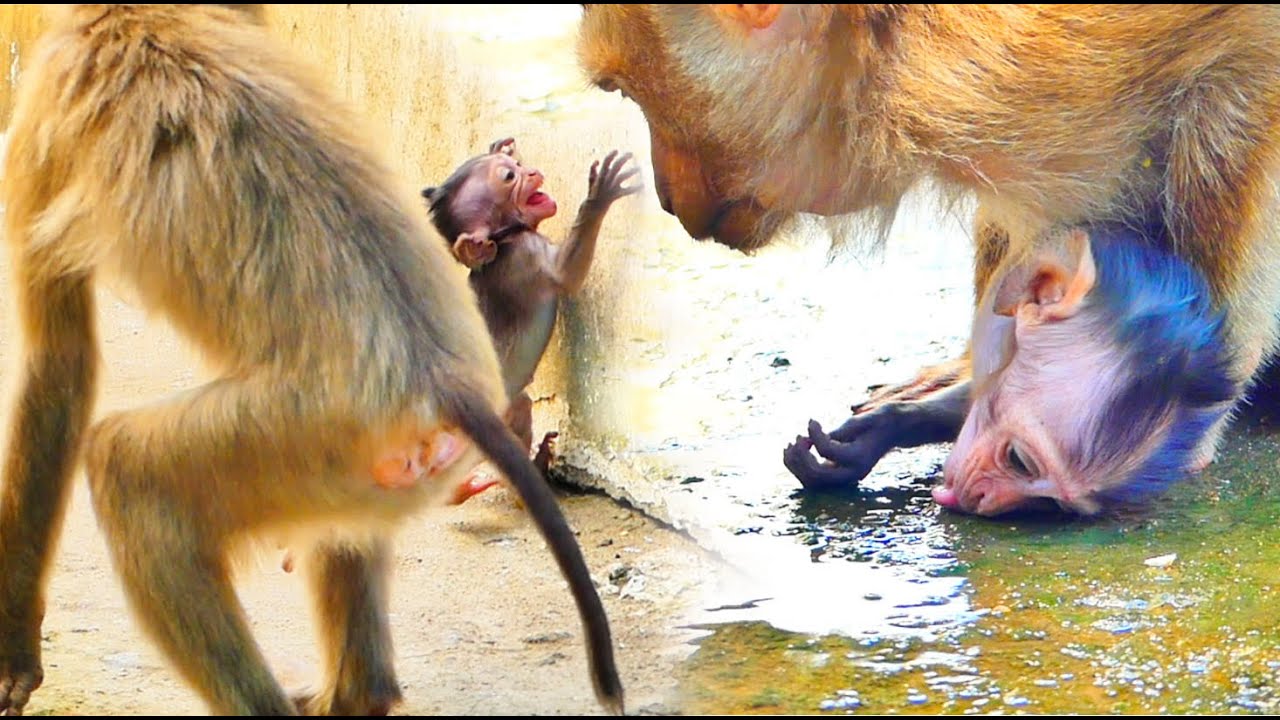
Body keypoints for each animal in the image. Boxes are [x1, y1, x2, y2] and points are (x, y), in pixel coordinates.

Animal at [420, 137, 640, 501]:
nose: (532, 171)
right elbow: (566, 275)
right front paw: (598, 196)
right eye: (509, 177)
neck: (505, 239)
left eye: (517, 165)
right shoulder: (527, 255)